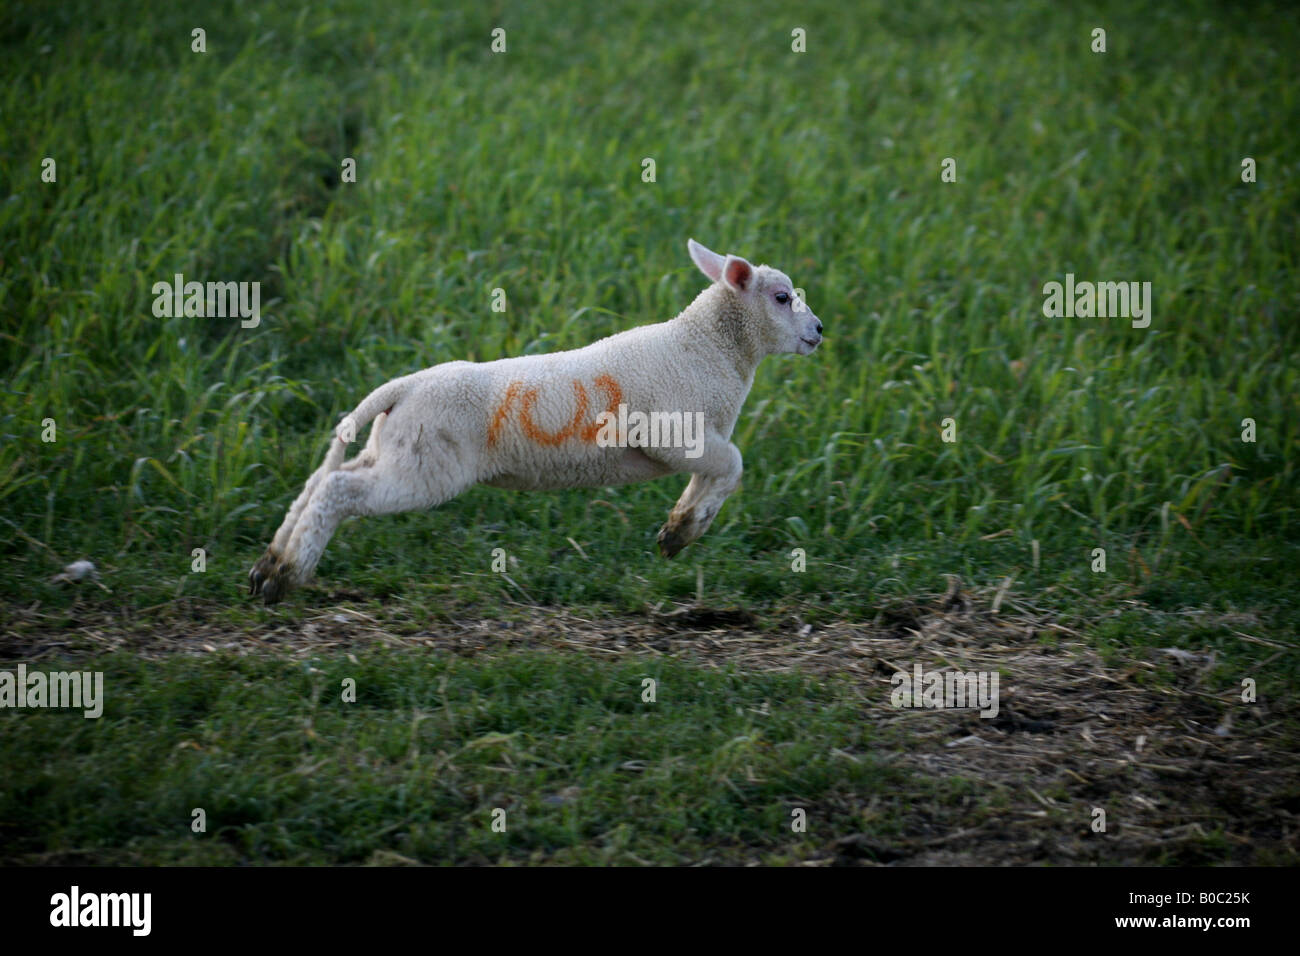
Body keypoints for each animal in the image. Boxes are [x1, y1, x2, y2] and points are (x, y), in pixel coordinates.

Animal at [248, 239, 823, 603]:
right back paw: (287, 576)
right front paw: (684, 529)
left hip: (394, 449)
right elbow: (732, 464)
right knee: (337, 491)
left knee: (320, 481)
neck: (710, 349)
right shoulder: (674, 433)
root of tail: (402, 388)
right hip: (424, 469)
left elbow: (715, 473)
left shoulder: (697, 440)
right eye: (781, 297)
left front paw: (678, 528)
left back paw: (269, 565)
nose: (819, 329)